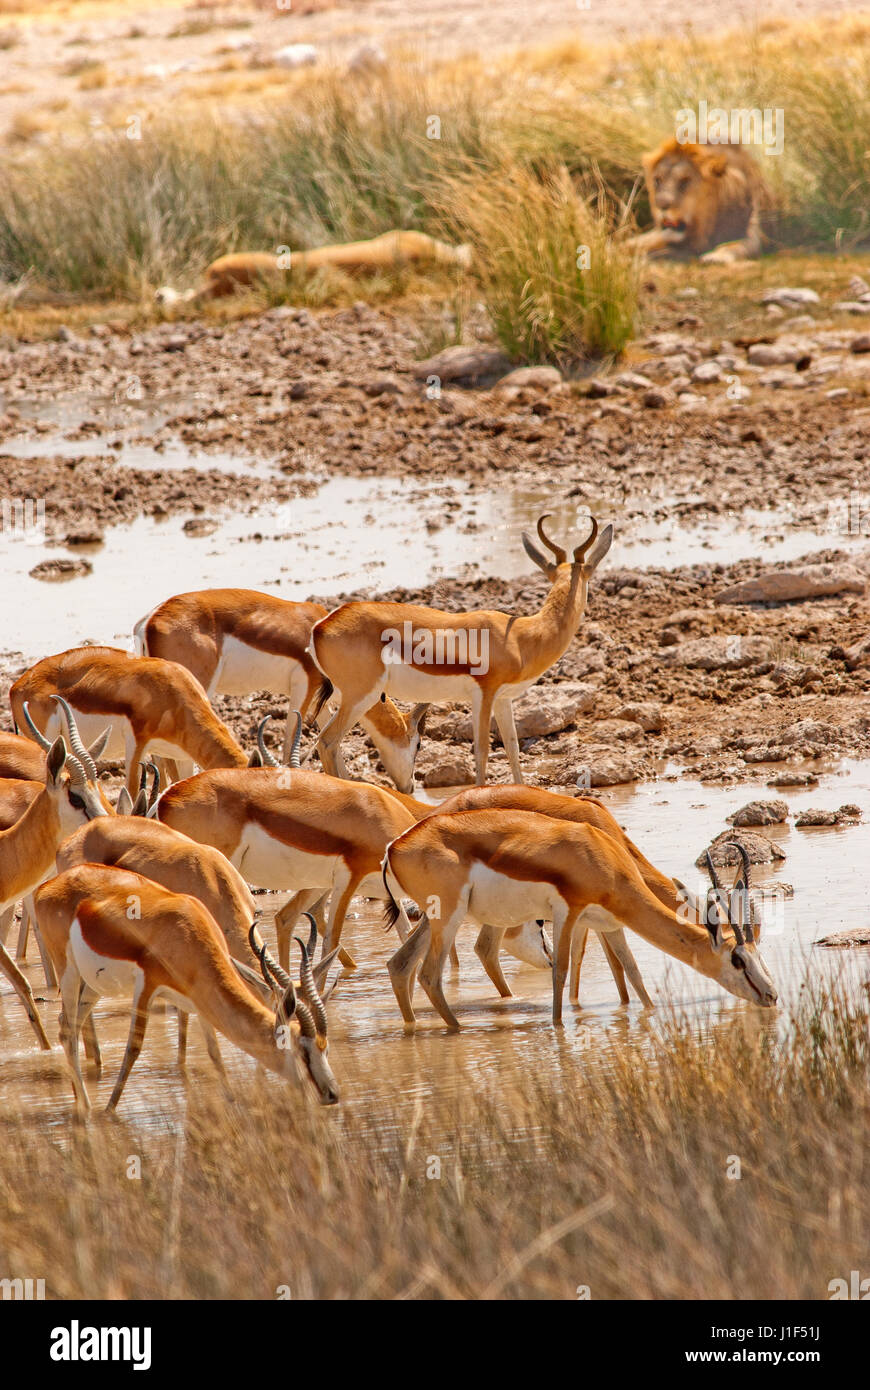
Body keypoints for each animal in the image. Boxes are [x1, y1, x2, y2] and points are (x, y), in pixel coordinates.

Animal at [629, 138, 764, 265]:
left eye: (685, 181)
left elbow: (738, 245)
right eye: (658, 180)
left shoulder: (752, 228)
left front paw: (716, 257)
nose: (661, 204)